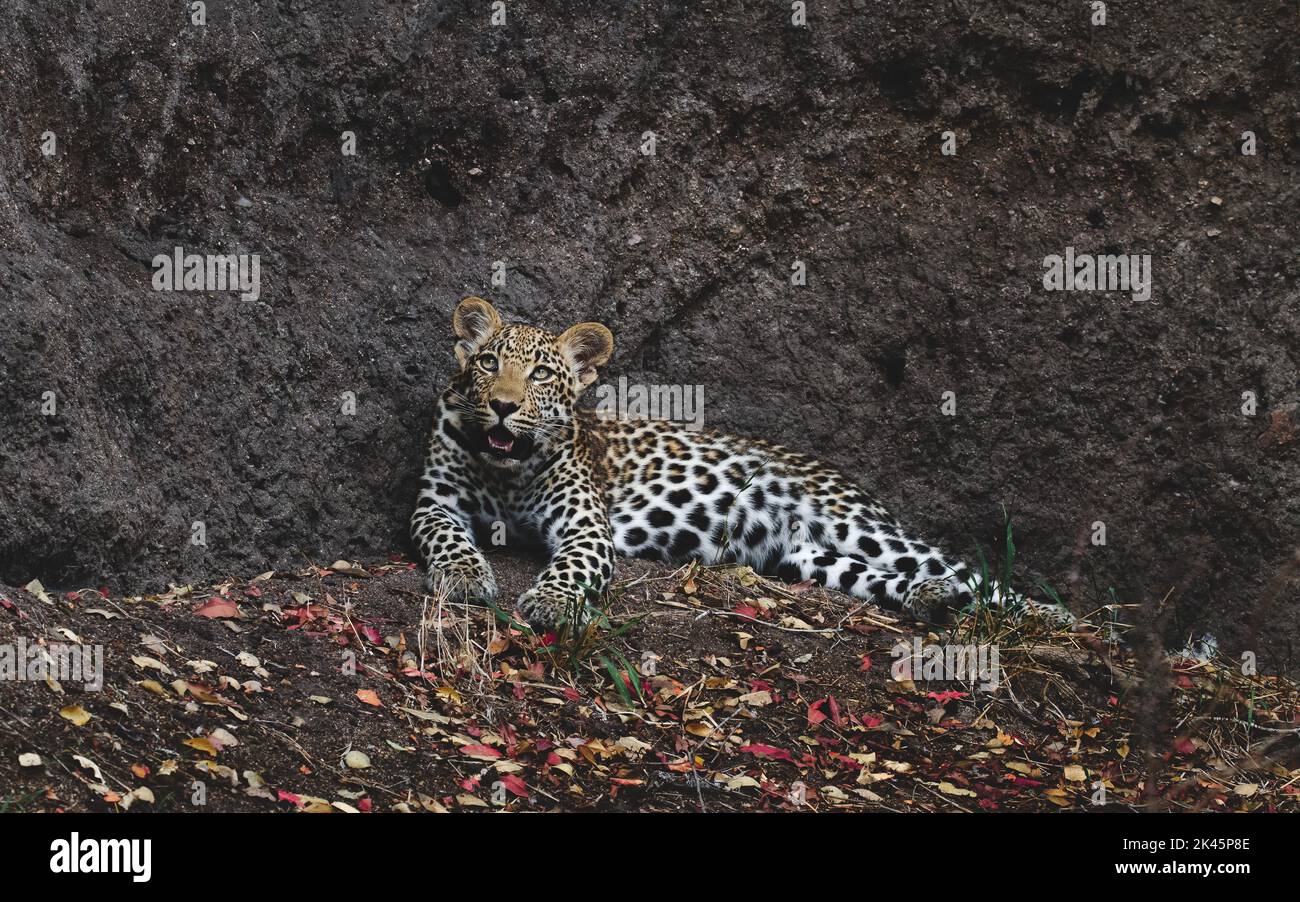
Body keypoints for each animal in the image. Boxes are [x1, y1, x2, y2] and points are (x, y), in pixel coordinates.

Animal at [411, 296, 1075, 631]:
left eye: (541, 375)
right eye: (489, 363)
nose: (503, 406)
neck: (506, 472)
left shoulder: (585, 525)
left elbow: (573, 564)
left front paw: (550, 603)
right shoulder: (433, 503)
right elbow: (447, 537)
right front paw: (465, 577)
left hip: (860, 525)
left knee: (971, 574)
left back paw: (1057, 618)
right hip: (806, 557)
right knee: (891, 577)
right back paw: (931, 599)